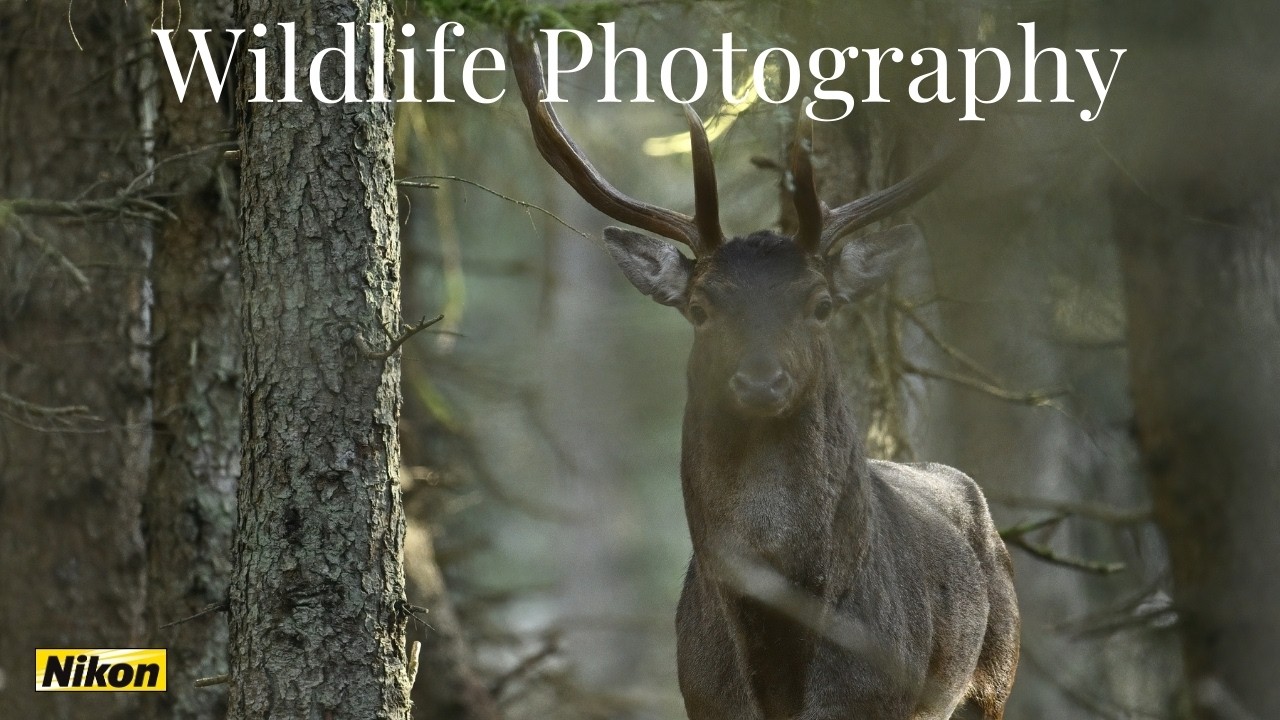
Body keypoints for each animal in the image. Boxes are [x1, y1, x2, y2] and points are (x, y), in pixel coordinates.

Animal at [508, 33, 1019, 720]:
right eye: (700, 307)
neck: (775, 648)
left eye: (821, 304)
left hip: (992, 680)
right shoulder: (704, 698)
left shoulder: (874, 700)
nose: (759, 382)